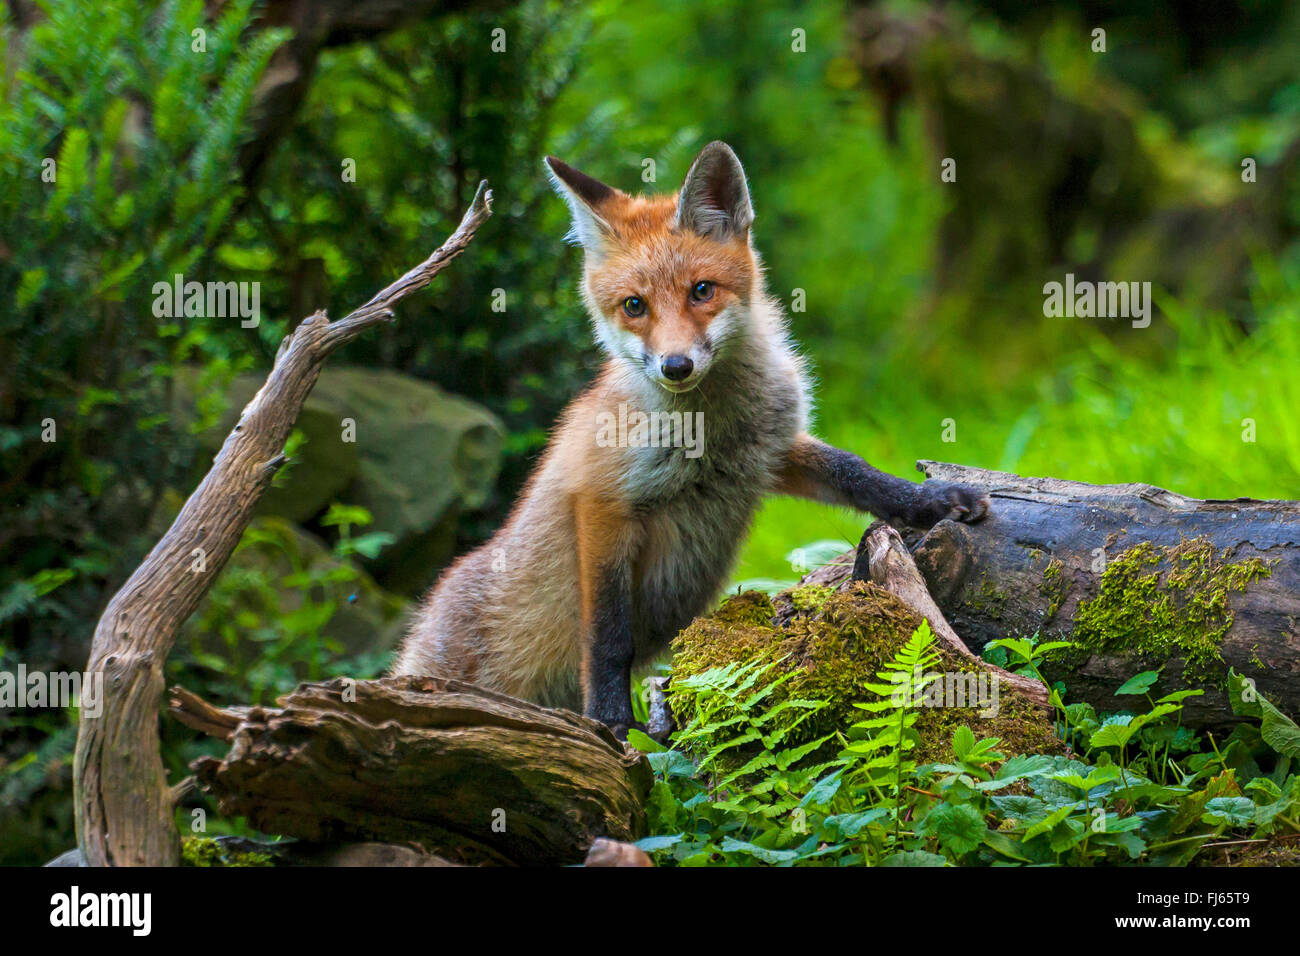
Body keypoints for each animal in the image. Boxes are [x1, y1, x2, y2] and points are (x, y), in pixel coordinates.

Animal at [391, 141, 990, 738]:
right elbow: (608, 638)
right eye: (634, 305)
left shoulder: (769, 454)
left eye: (701, 291)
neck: (710, 431)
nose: (675, 366)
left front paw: (933, 500)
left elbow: (857, 471)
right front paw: (611, 724)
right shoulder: (602, 501)